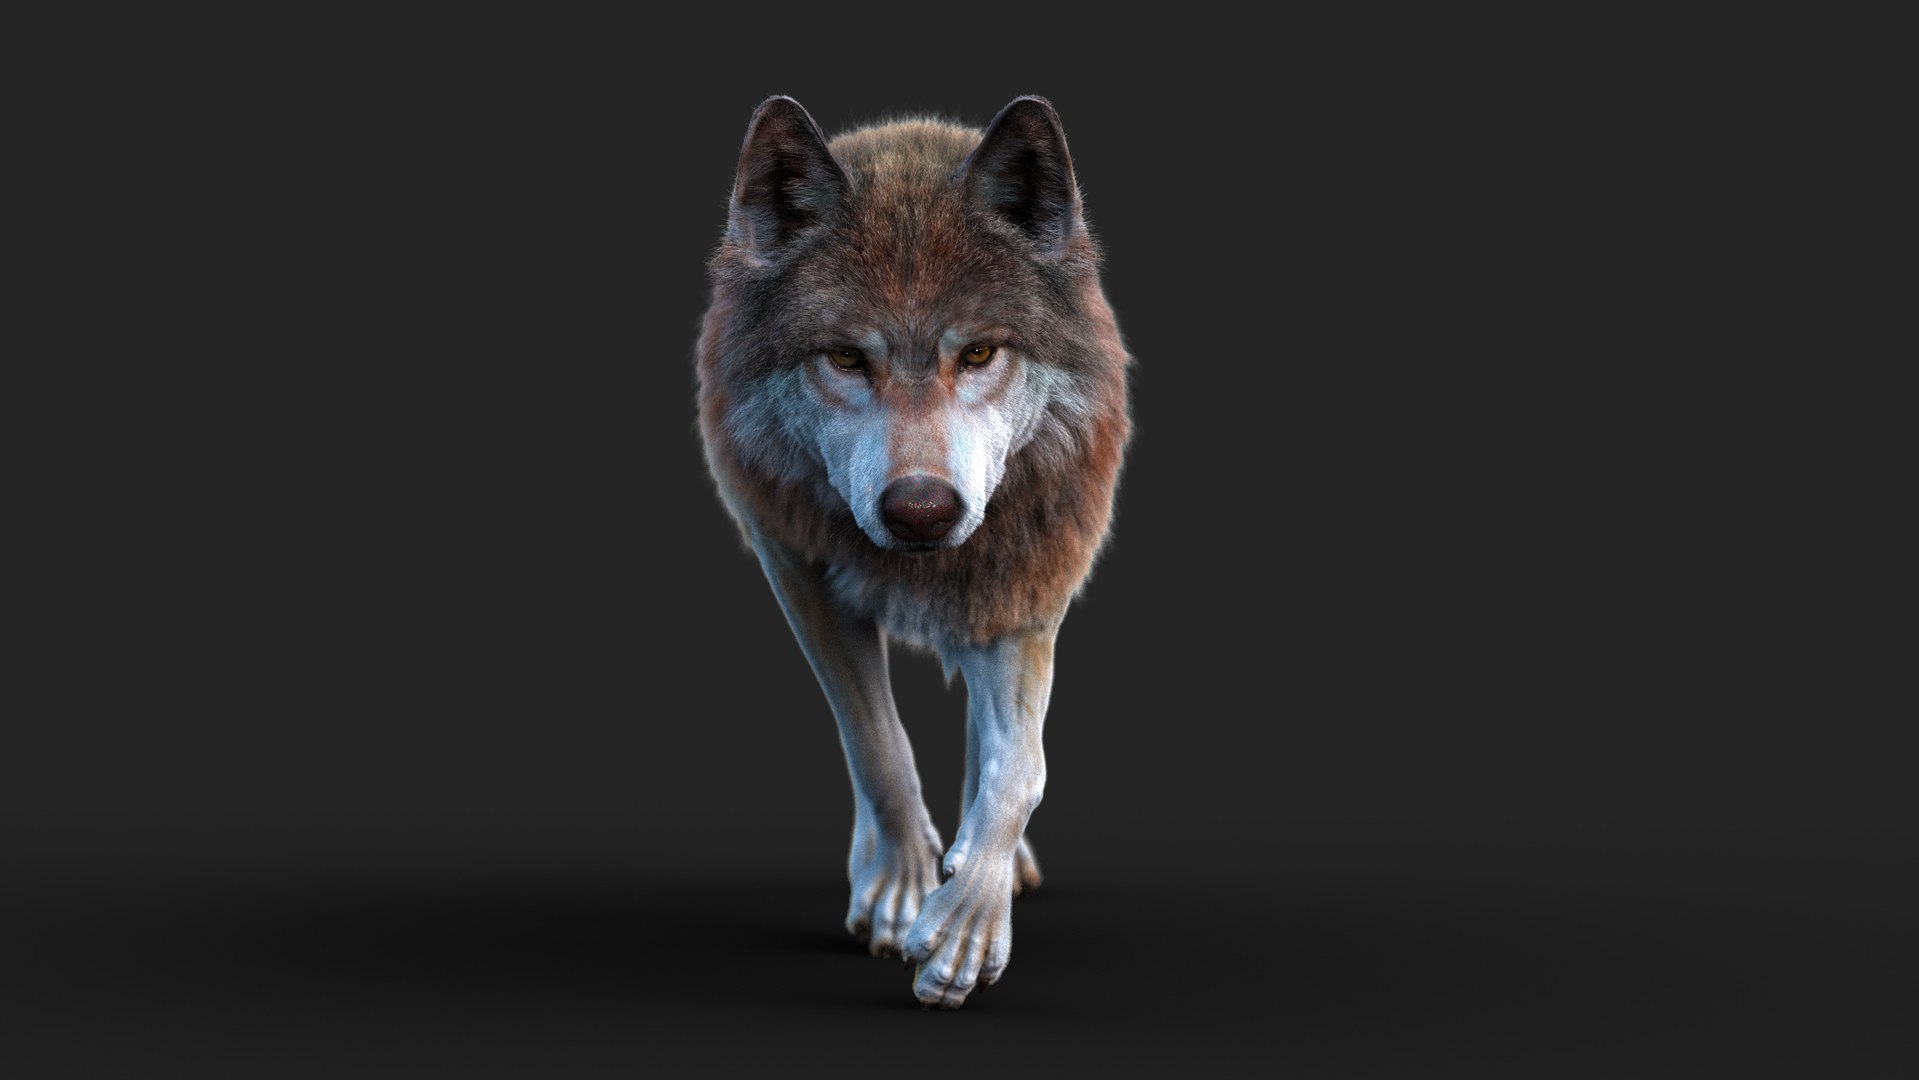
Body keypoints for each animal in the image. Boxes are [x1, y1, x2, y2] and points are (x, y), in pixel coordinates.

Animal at [695, 94, 1131, 1008]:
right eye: (845, 357)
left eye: (978, 352)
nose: (922, 511)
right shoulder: (799, 570)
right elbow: (877, 743)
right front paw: (901, 891)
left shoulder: (1022, 585)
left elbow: (1020, 769)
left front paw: (965, 921)